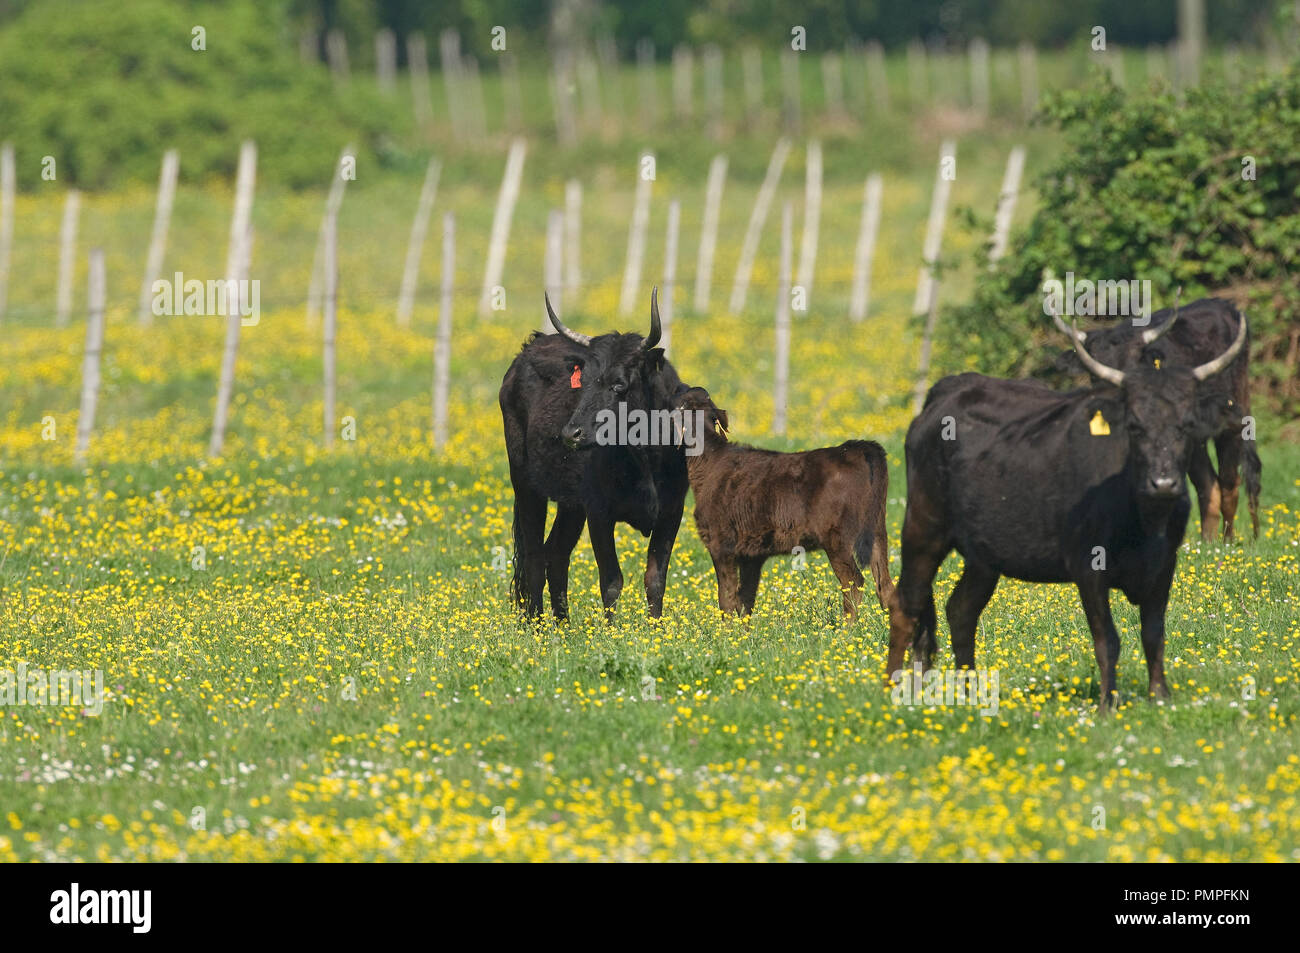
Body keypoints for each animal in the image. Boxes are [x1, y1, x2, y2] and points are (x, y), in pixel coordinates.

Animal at [499, 289, 690, 620]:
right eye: (584, 382)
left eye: (619, 385)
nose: (570, 434)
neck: (646, 459)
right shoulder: (600, 512)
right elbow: (611, 580)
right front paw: (611, 629)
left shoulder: (671, 511)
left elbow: (656, 579)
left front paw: (656, 629)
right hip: (525, 484)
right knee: (534, 554)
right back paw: (536, 625)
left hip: (571, 503)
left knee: (556, 553)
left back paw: (563, 625)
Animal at [673, 387, 896, 619]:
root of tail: (857, 447)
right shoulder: (751, 554)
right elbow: (745, 599)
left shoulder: (720, 543)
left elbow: (726, 599)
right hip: (877, 531)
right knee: (885, 584)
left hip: (837, 538)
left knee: (854, 581)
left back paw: (847, 627)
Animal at [886, 313, 1248, 710]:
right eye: (1134, 426)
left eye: (1186, 426)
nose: (1164, 482)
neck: (1143, 517)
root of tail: (947, 390)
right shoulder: (1088, 567)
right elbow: (1108, 640)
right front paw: (1107, 705)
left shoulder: (1165, 565)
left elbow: (1154, 633)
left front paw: (1160, 697)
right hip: (923, 528)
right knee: (906, 605)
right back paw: (890, 687)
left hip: (984, 555)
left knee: (960, 611)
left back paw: (970, 693)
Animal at [1048, 296, 1259, 542]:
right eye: (1093, 373)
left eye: (1133, 364)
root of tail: (1225, 305)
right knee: (1209, 483)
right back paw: (1207, 541)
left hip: (1232, 421)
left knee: (1227, 483)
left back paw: (1225, 542)